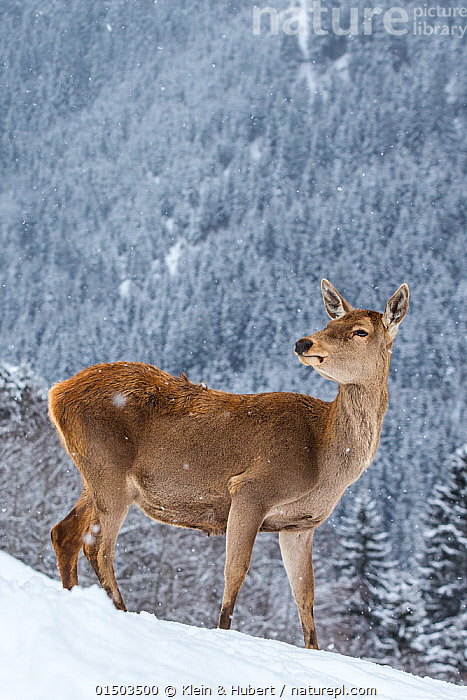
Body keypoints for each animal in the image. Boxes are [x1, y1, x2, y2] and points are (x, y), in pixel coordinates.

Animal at [50, 279, 409, 649]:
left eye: (360, 330)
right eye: (328, 323)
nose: (303, 342)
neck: (323, 460)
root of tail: (57, 393)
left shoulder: (300, 525)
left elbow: (305, 594)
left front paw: (314, 649)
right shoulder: (252, 489)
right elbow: (236, 570)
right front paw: (223, 632)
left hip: (93, 474)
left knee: (65, 532)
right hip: (109, 469)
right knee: (98, 547)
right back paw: (120, 611)